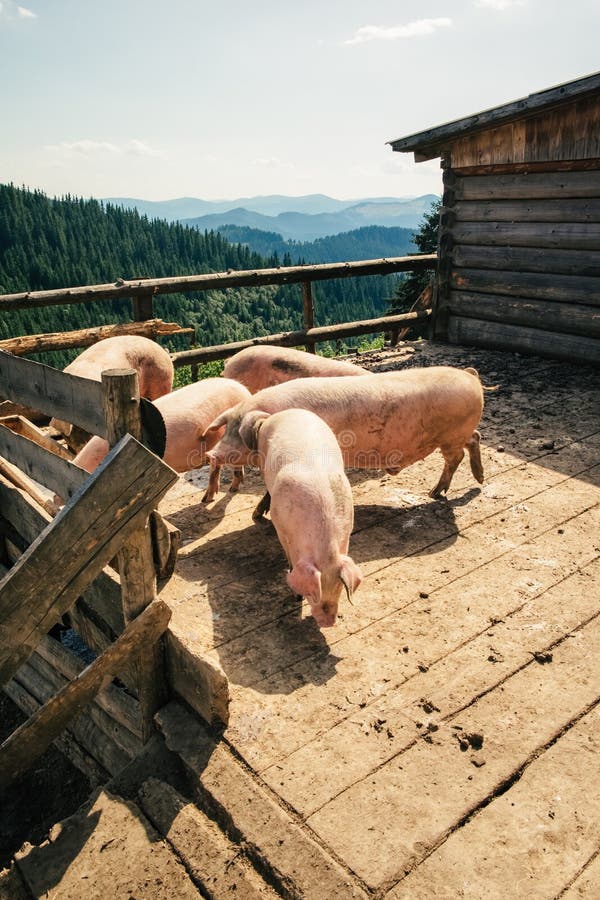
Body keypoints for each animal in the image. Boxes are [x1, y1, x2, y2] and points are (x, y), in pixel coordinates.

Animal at [202, 366, 485, 503]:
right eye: (228, 426)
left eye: (238, 430)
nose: (211, 453)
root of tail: (469, 376)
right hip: (458, 433)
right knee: (475, 438)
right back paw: (476, 480)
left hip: (451, 436)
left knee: (456, 457)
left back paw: (435, 493)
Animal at [242, 408, 362, 627]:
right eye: (313, 593)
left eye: (339, 588)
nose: (328, 622)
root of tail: (279, 413)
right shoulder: (280, 526)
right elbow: (288, 556)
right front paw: (295, 595)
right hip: (263, 460)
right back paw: (257, 513)